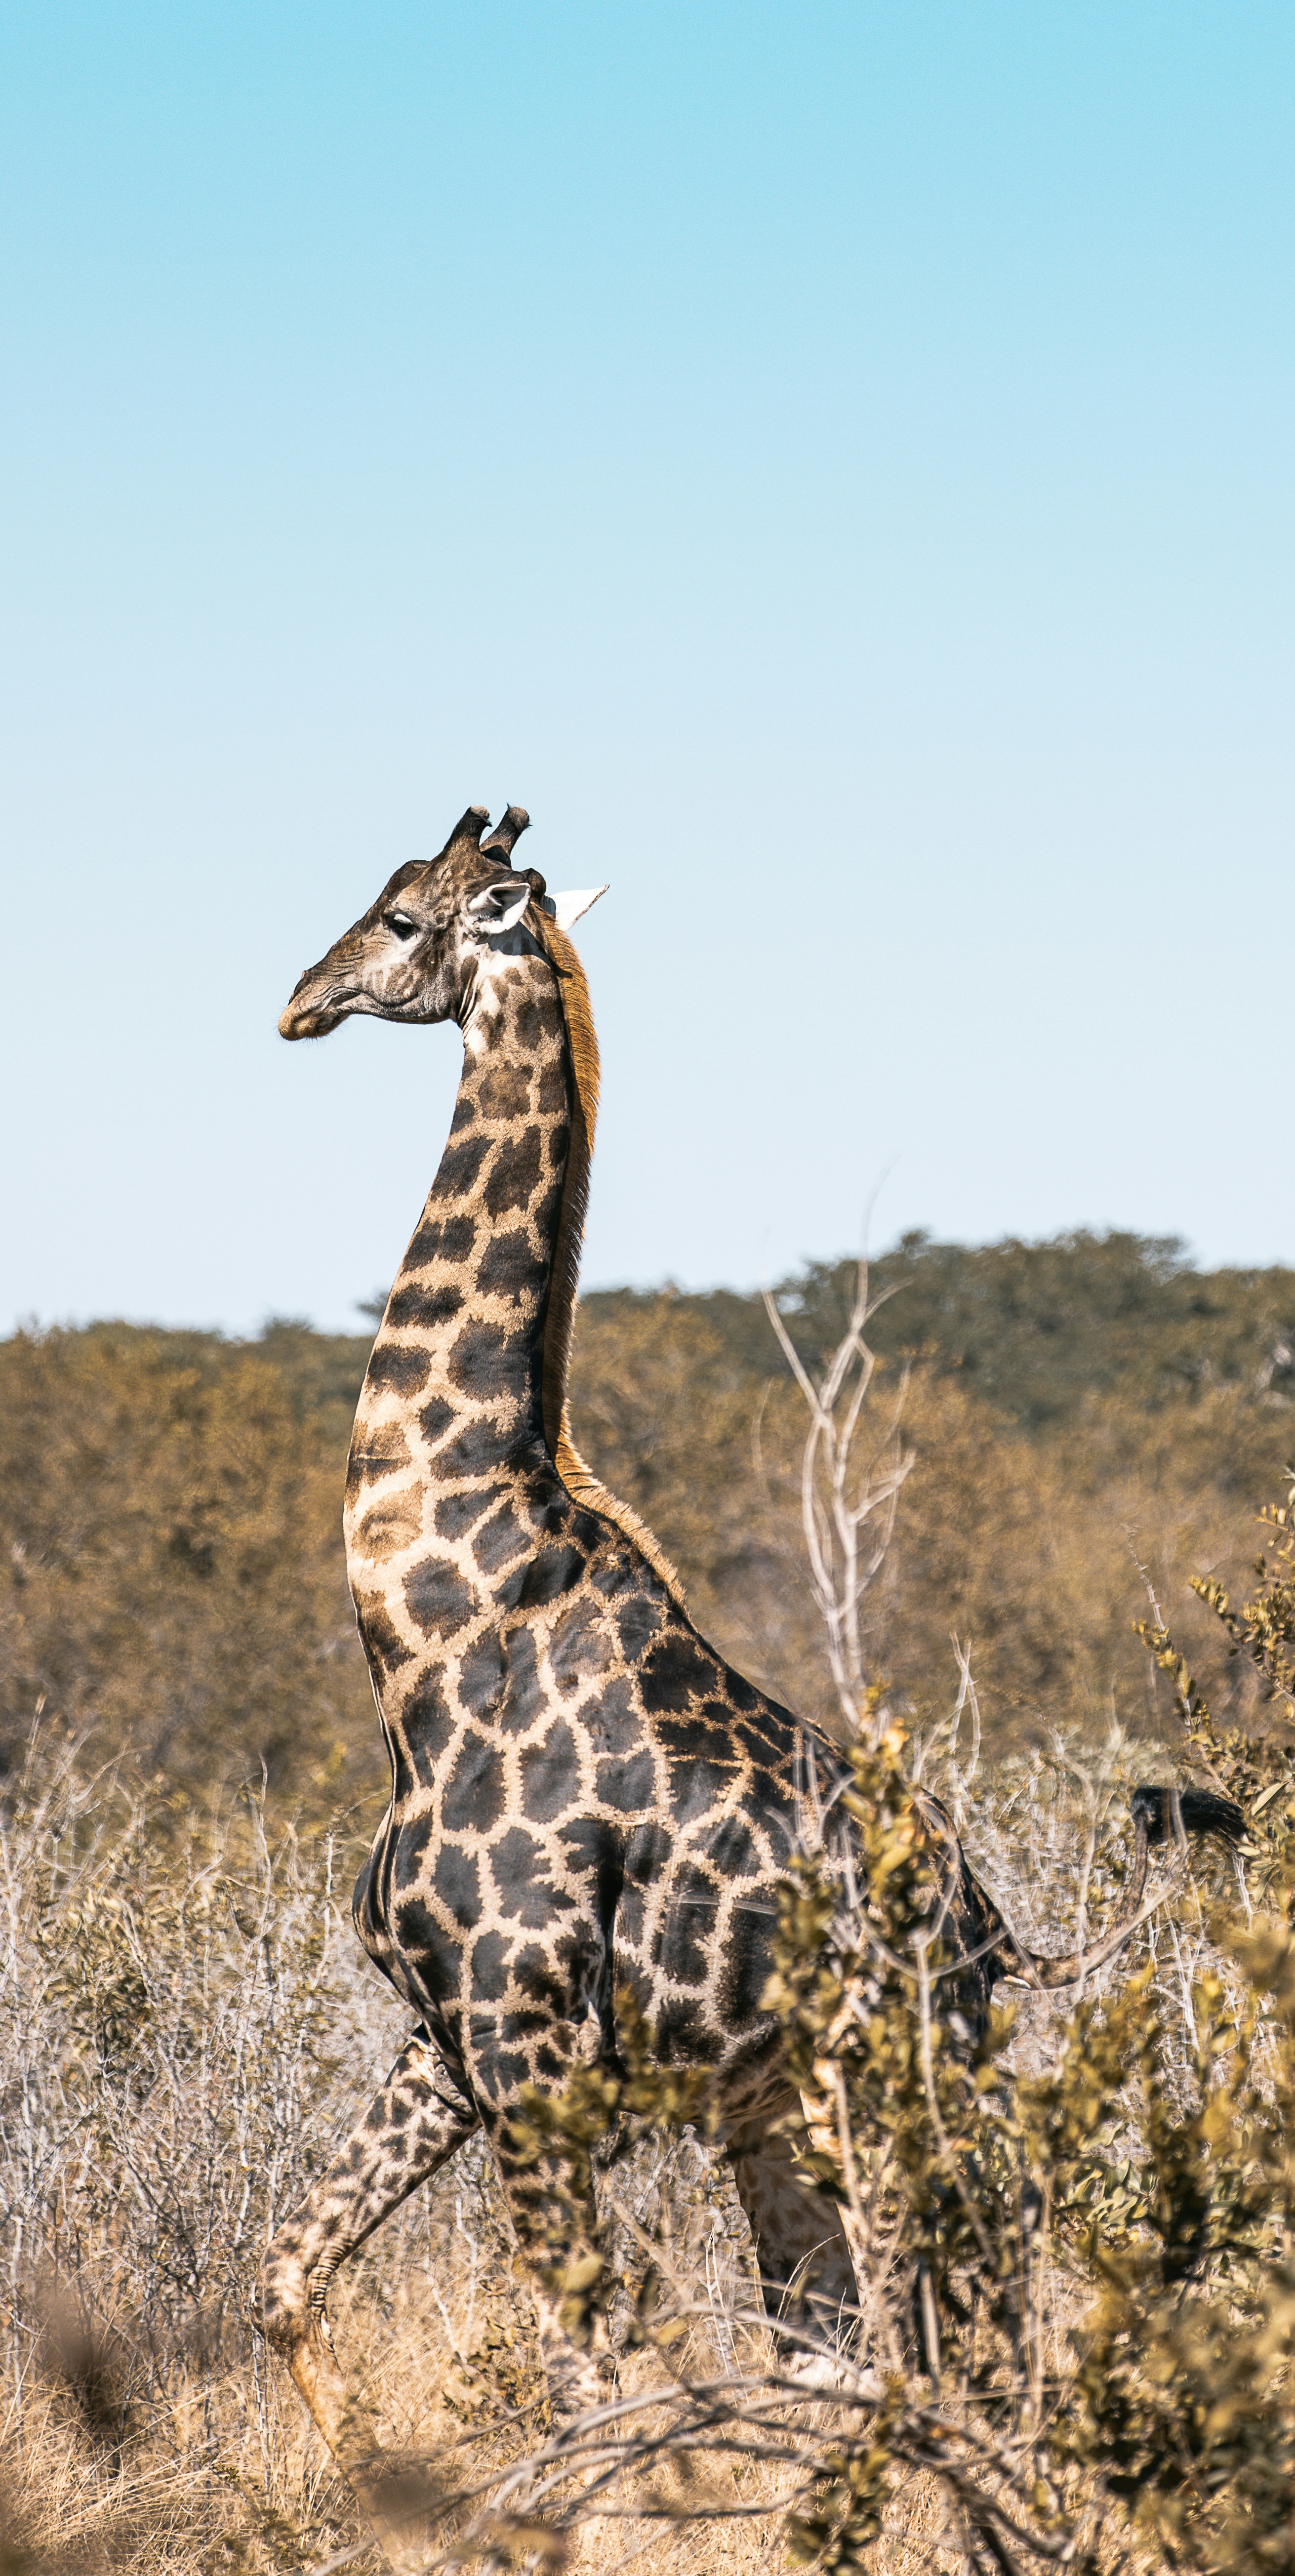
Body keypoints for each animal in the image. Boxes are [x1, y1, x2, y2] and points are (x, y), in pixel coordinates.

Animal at [260, 803, 1243, 2560]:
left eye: (402, 916)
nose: (299, 1001)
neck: (431, 1626)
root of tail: (996, 1935)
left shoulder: (527, 2045)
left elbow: (592, 2368)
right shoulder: (442, 2037)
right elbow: (289, 2278)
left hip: (894, 2101)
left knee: (964, 2332)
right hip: (774, 2116)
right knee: (858, 2350)